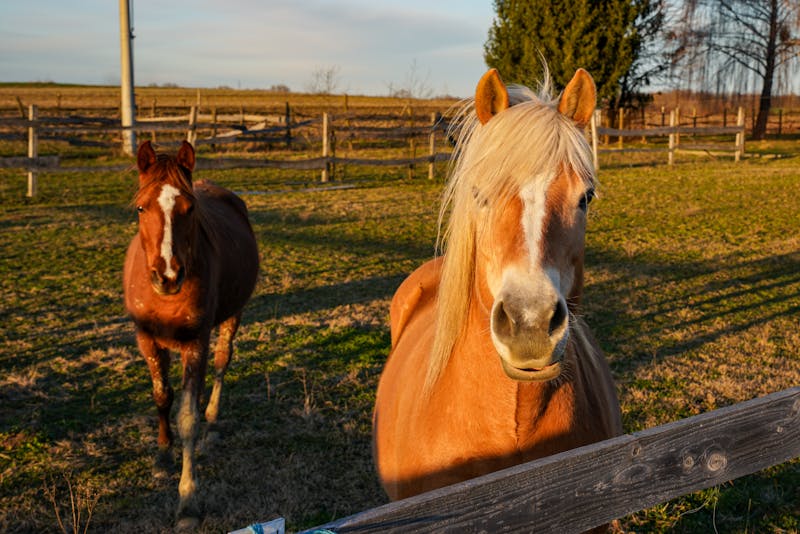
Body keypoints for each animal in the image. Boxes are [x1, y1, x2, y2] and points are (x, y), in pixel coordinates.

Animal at [123, 141, 259, 528]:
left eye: (190, 207)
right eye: (141, 207)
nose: (168, 276)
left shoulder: (194, 343)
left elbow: (187, 418)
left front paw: (187, 502)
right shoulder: (147, 340)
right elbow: (162, 397)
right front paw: (162, 456)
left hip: (232, 315)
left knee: (222, 363)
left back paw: (211, 427)